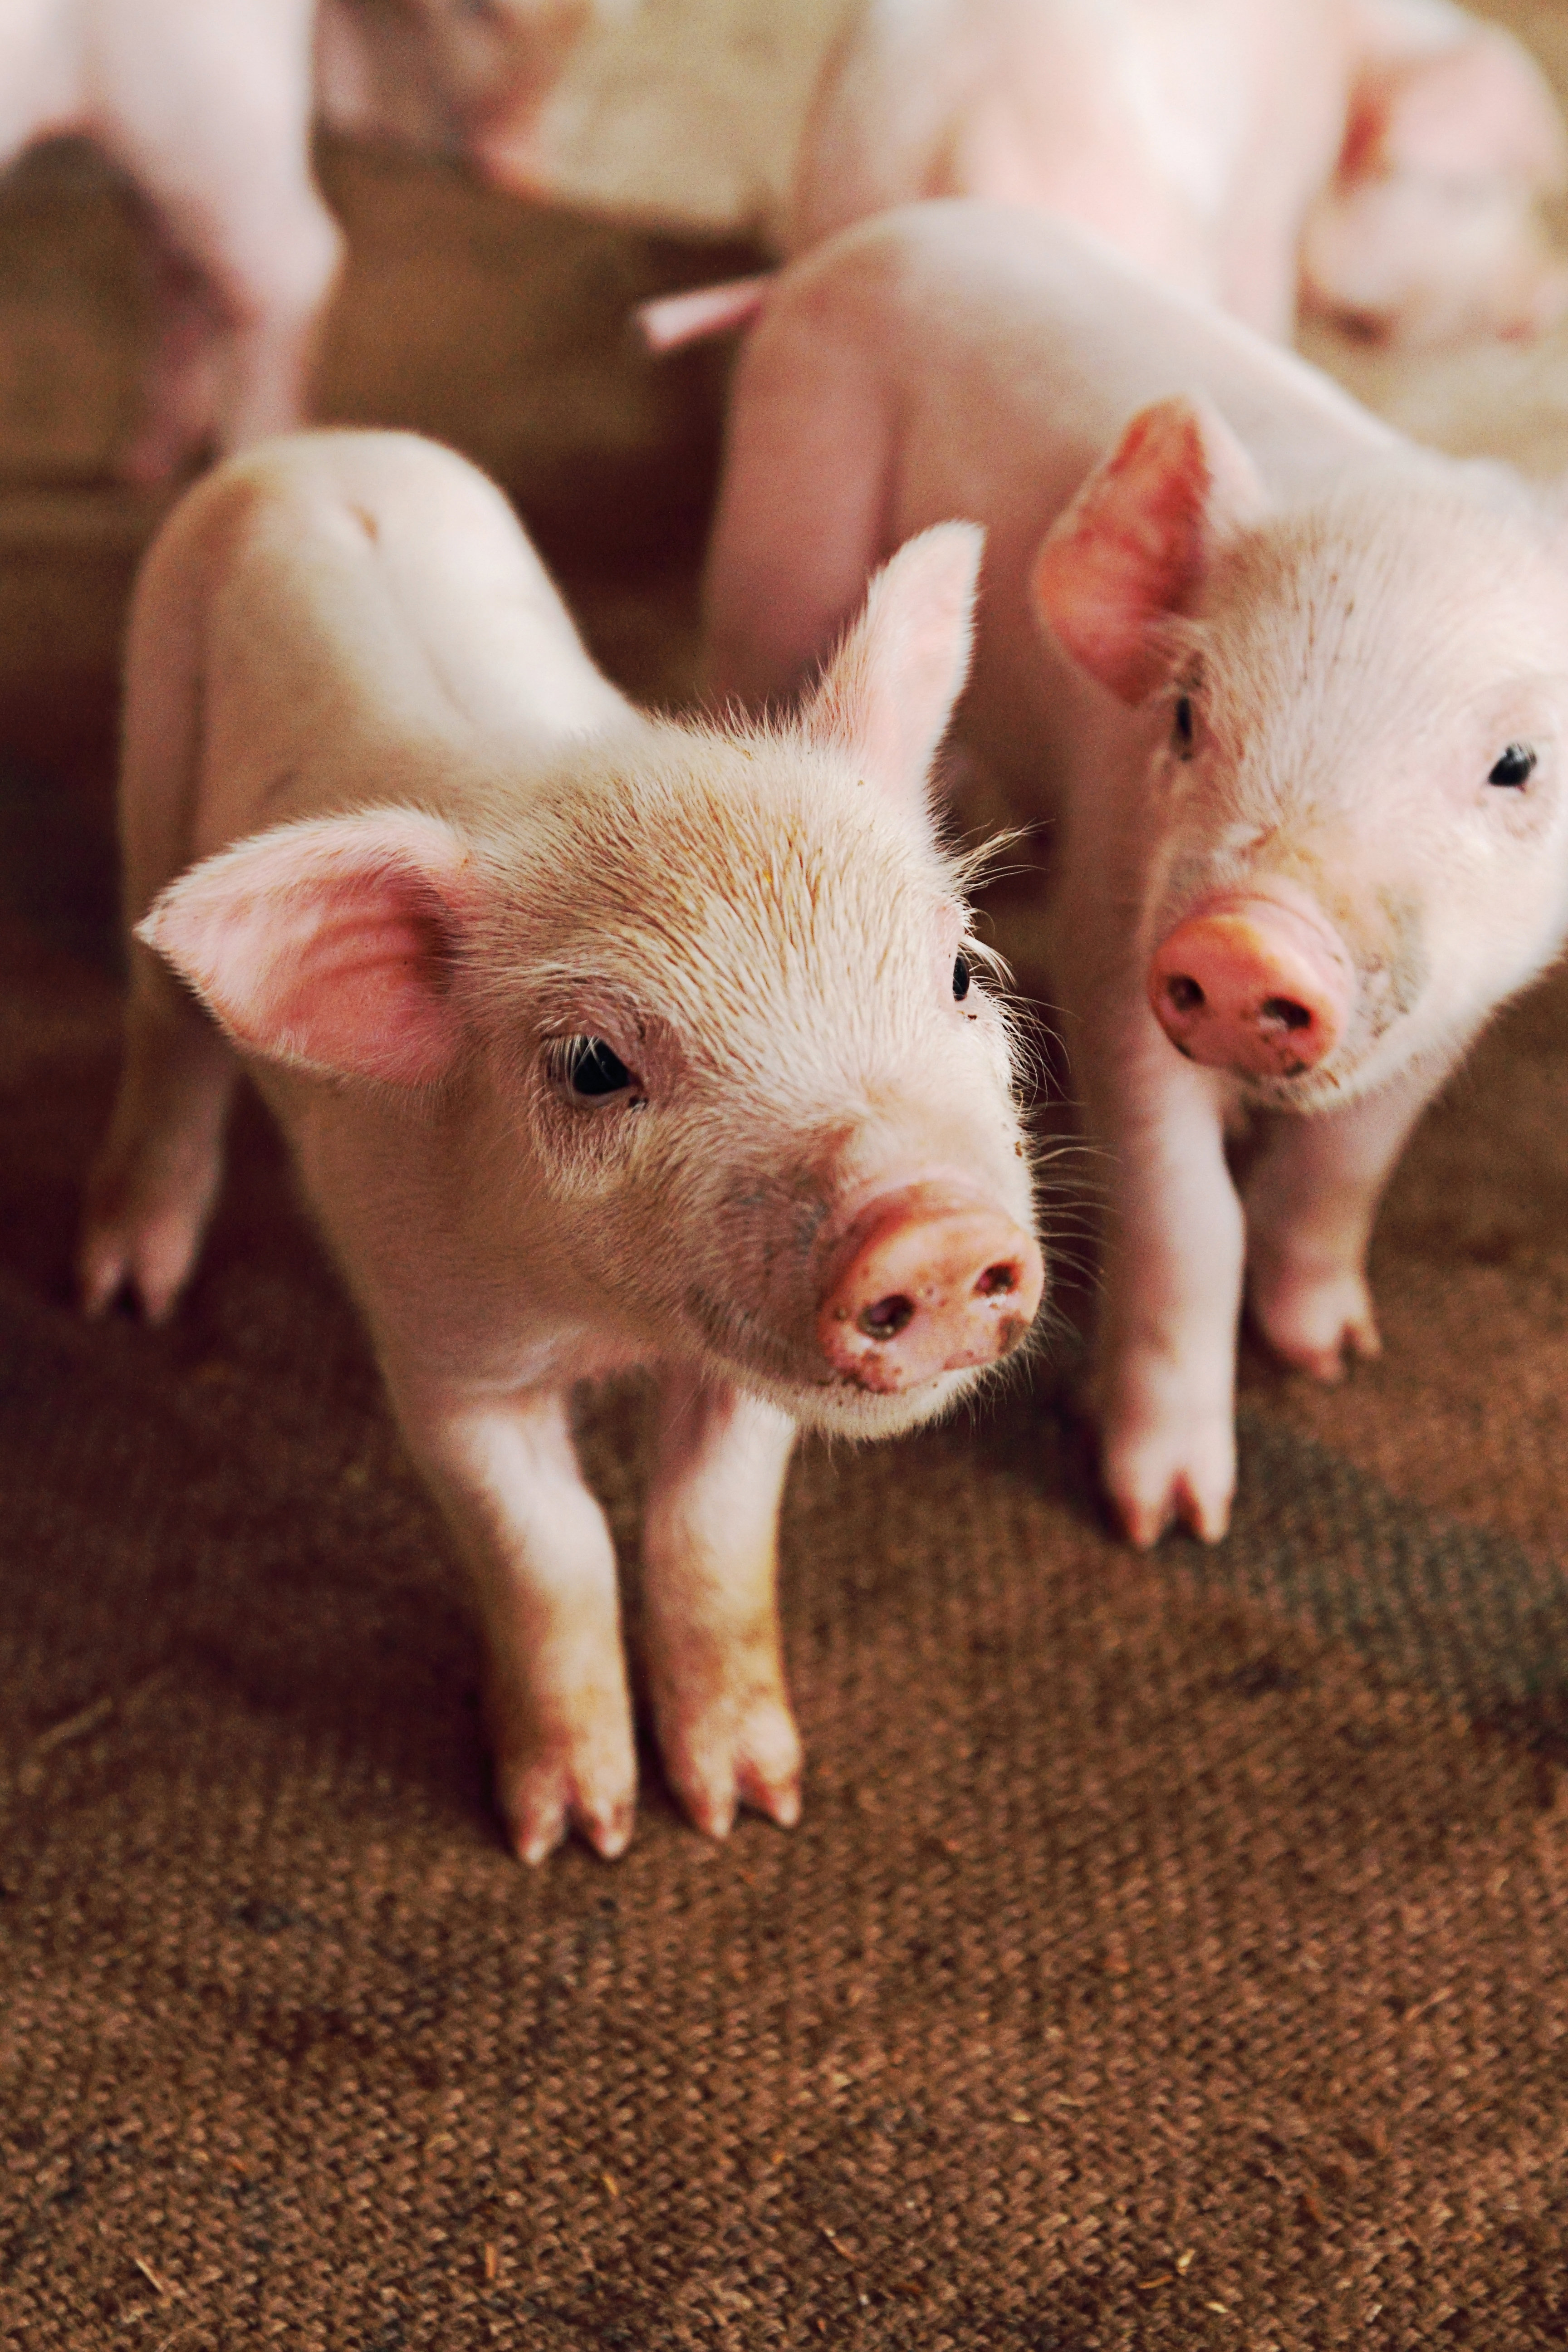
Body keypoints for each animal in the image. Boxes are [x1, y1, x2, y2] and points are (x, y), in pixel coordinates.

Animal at [78, 428, 1044, 1861]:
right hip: (149, 738)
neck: (608, 1326)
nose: (927, 1227)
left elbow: (706, 1530)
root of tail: (310, 447)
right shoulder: (441, 1354)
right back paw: (123, 1292)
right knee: (166, 1036)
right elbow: (553, 1549)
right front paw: (574, 1835)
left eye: (963, 971)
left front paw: (748, 1805)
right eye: (595, 1066)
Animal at [702, 200, 1568, 1548]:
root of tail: (856, 242)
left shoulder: (1460, 1005)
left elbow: (1350, 1160)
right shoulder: (1115, 929)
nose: (1242, 941)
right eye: (1185, 716)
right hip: (781, 522)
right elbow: (1187, 1213)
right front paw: (1166, 1521)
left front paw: (1329, 1355)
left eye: (1516, 763)